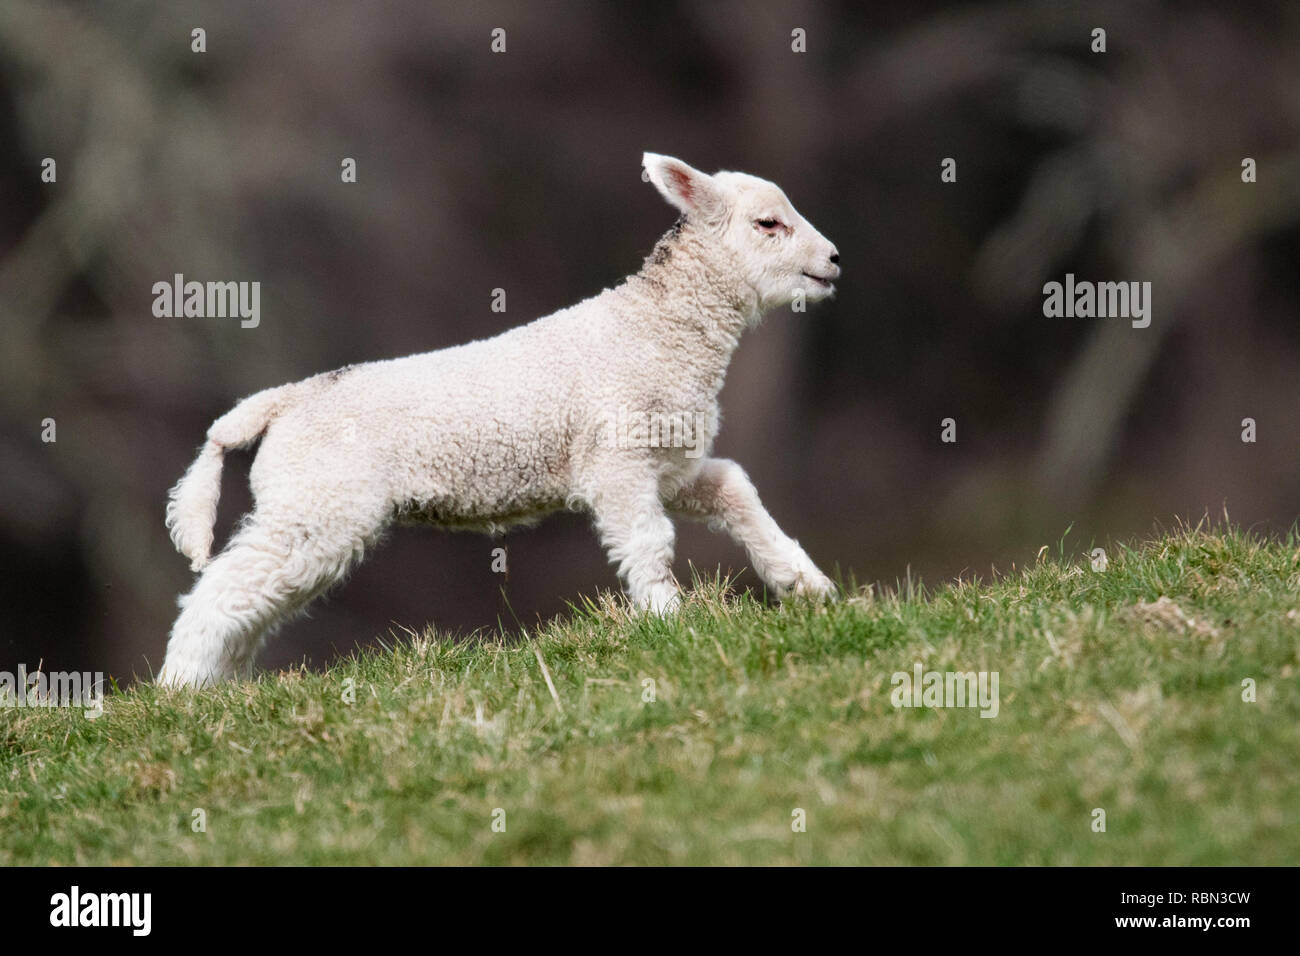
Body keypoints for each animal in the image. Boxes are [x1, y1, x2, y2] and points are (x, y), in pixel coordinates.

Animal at [158, 152, 841, 688]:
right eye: (768, 223)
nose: (834, 260)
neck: (655, 330)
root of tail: (284, 400)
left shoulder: (666, 462)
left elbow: (734, 488)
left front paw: (806, 585)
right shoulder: (617, 462)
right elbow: (649, 542)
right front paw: (670, 623)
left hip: (309, 508)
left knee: (255, 600)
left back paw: (222, 689)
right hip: (315, 506)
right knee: (221, 591)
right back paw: (180, 692)